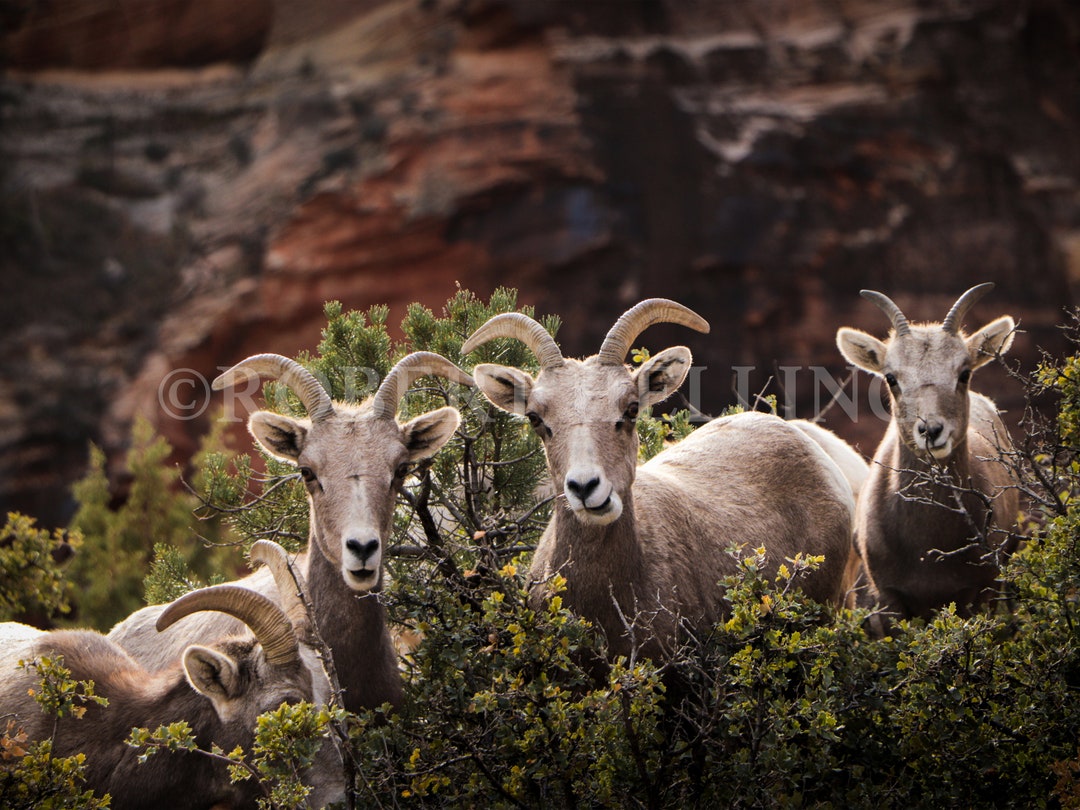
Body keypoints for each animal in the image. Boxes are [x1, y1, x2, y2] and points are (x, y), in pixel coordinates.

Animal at [835, 282, 1020, 623]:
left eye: (964, 372)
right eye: (891, 377)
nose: (931, 431)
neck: (928, 547)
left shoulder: (978, 593)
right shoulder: (888, 598)